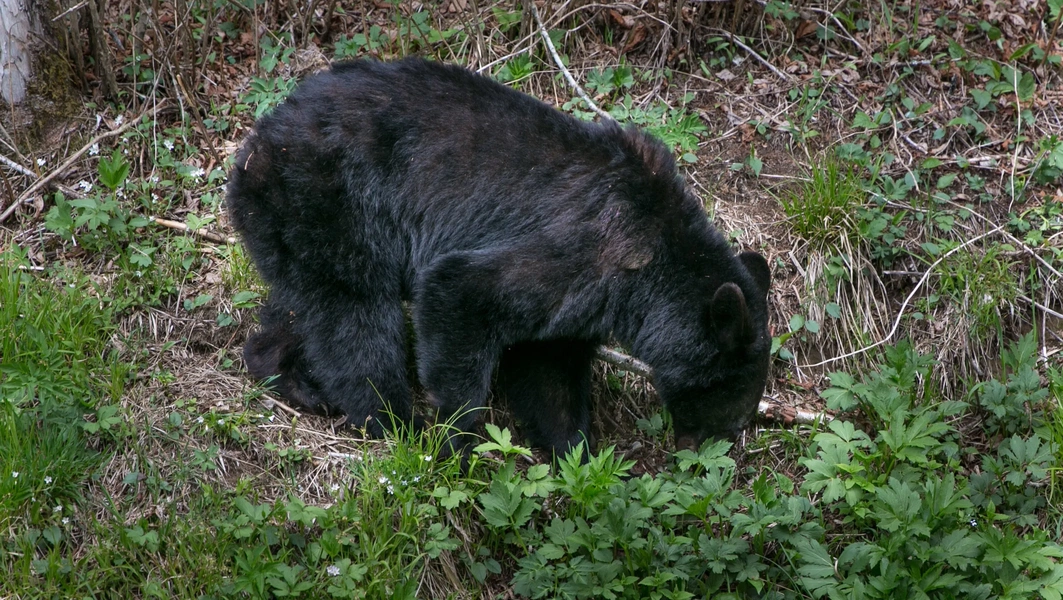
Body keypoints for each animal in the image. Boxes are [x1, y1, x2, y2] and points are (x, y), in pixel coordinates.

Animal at [227, 57, 772, 456]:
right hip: (333, 201)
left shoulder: (582, 302)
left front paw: (573, 451)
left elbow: (547, 365)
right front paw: (460, 437)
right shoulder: (588, 251)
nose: (700, 449)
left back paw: (288, 373)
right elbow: (461, 291)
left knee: (303, 305)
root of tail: (256, 140)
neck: (653, 270)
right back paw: (393, 420)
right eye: (736, 413)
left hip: (292, 224)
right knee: (355, 317)